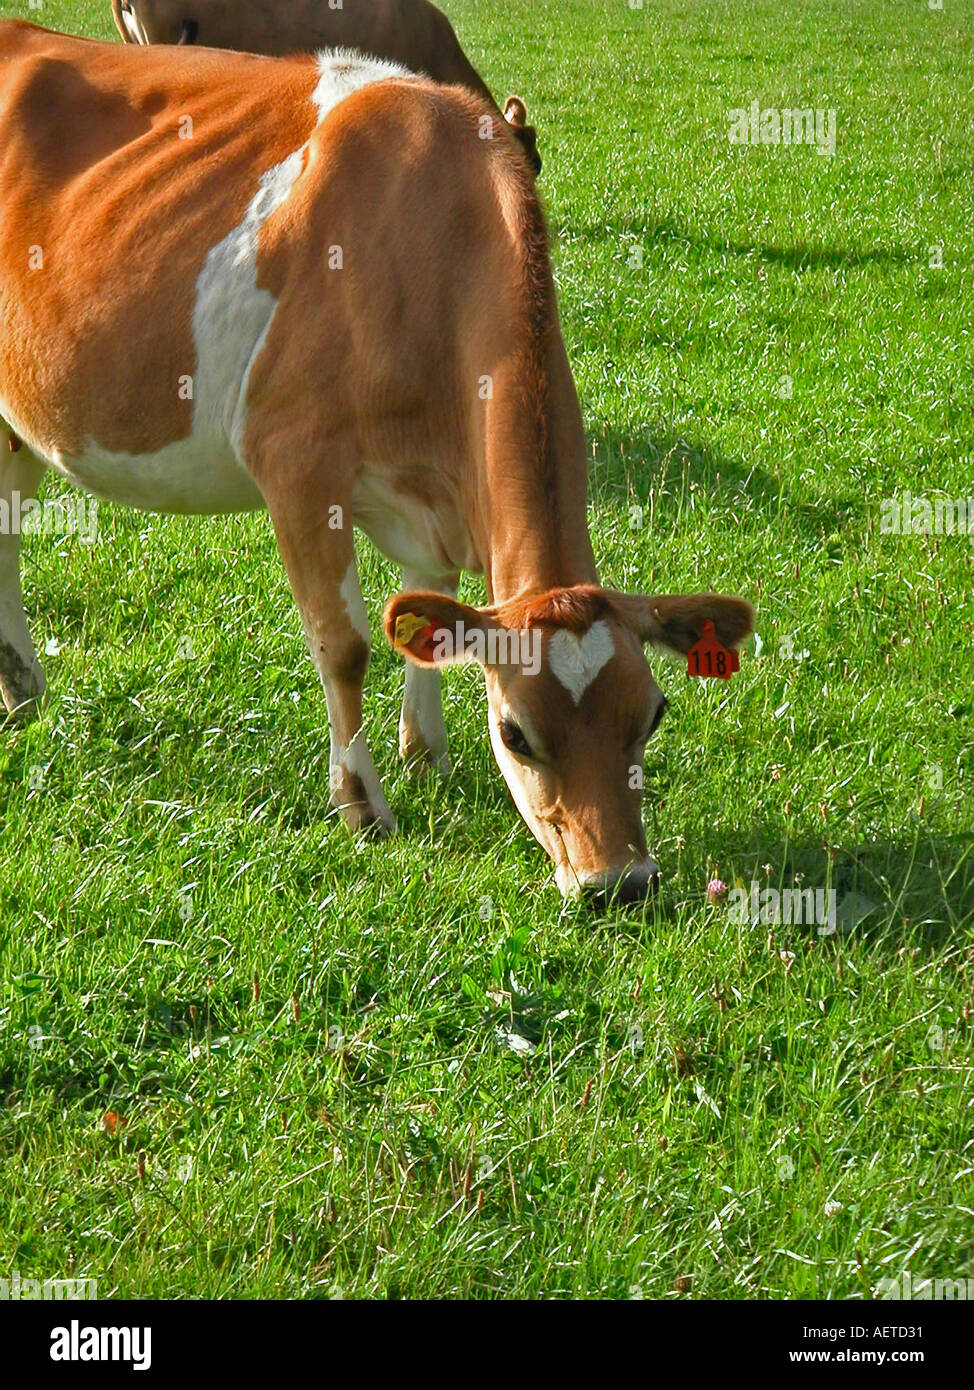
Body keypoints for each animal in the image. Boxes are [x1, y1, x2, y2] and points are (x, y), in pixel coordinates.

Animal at [0, 23, 752, 901]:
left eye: (653, 715)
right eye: (516, 733)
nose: (621, 883)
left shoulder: (433, 501)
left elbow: (428, 613)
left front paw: (426, 756)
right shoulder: (295, 463)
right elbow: (347, 646)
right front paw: (362, 805)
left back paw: (20, 689)